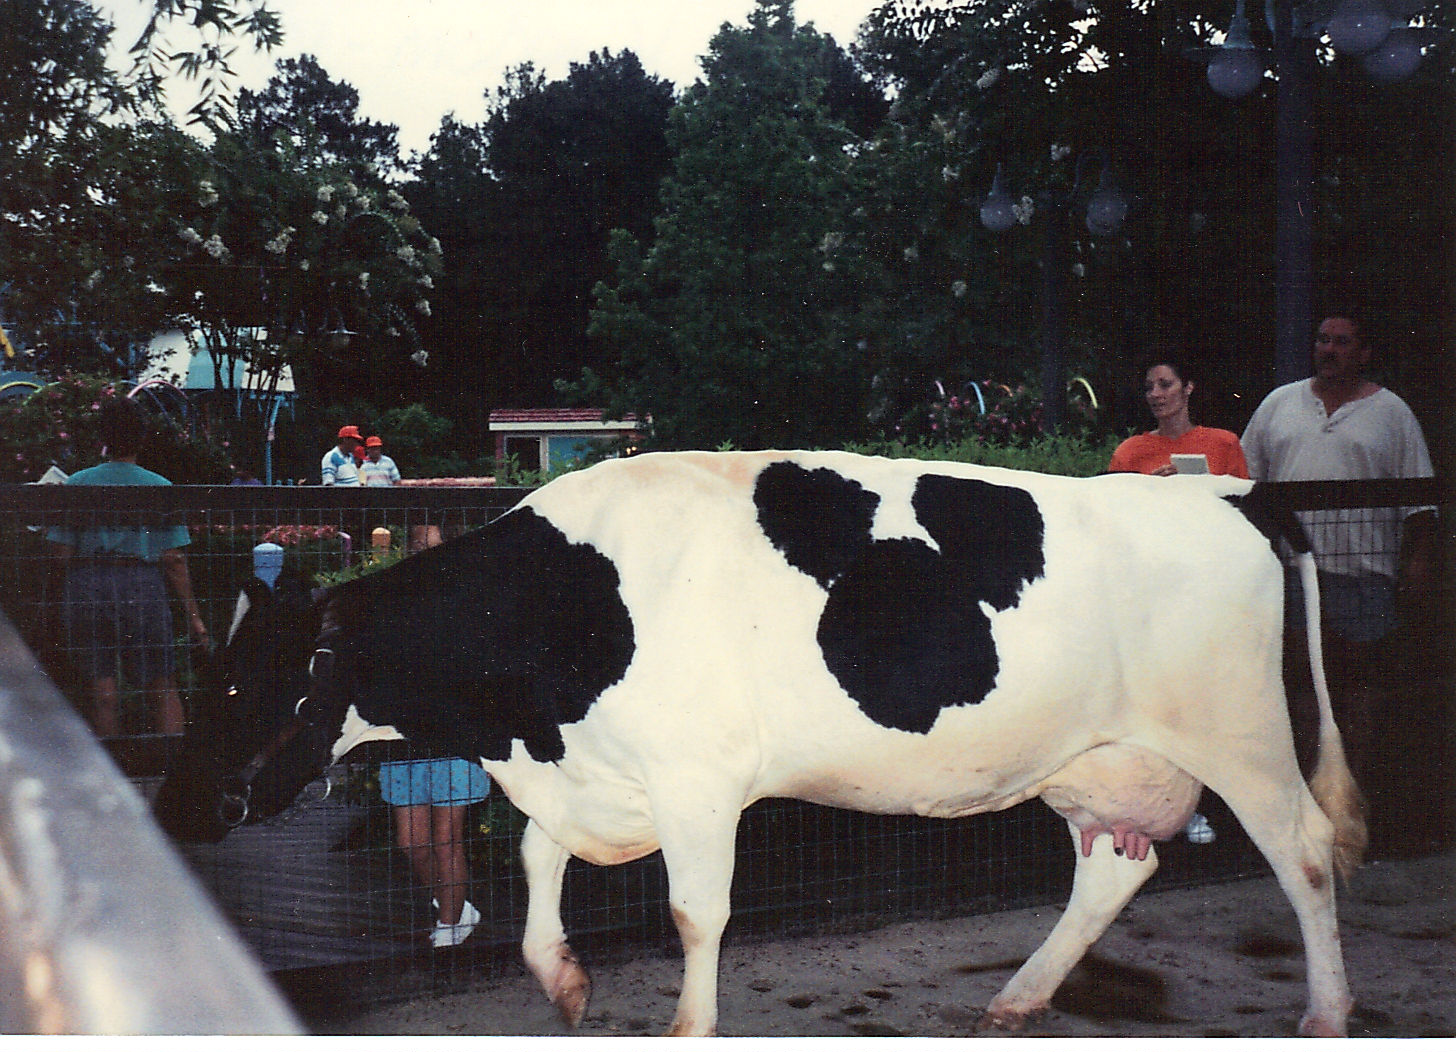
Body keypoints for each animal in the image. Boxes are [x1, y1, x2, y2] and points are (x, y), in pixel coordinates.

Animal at [154, 450, 1366, 1037]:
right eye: (207, 674)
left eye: (244, 682)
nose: (175, 807)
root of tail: (1232, 494)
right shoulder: (585, 773)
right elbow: (539, 865)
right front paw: (564, 982)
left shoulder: (696, 779)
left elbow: (697, 913)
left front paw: (686, 1025)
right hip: (1091, 756)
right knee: (1116, 868)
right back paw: (1021, 995)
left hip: (1241, 734)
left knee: (1304, 852)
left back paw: (1325, 1012)